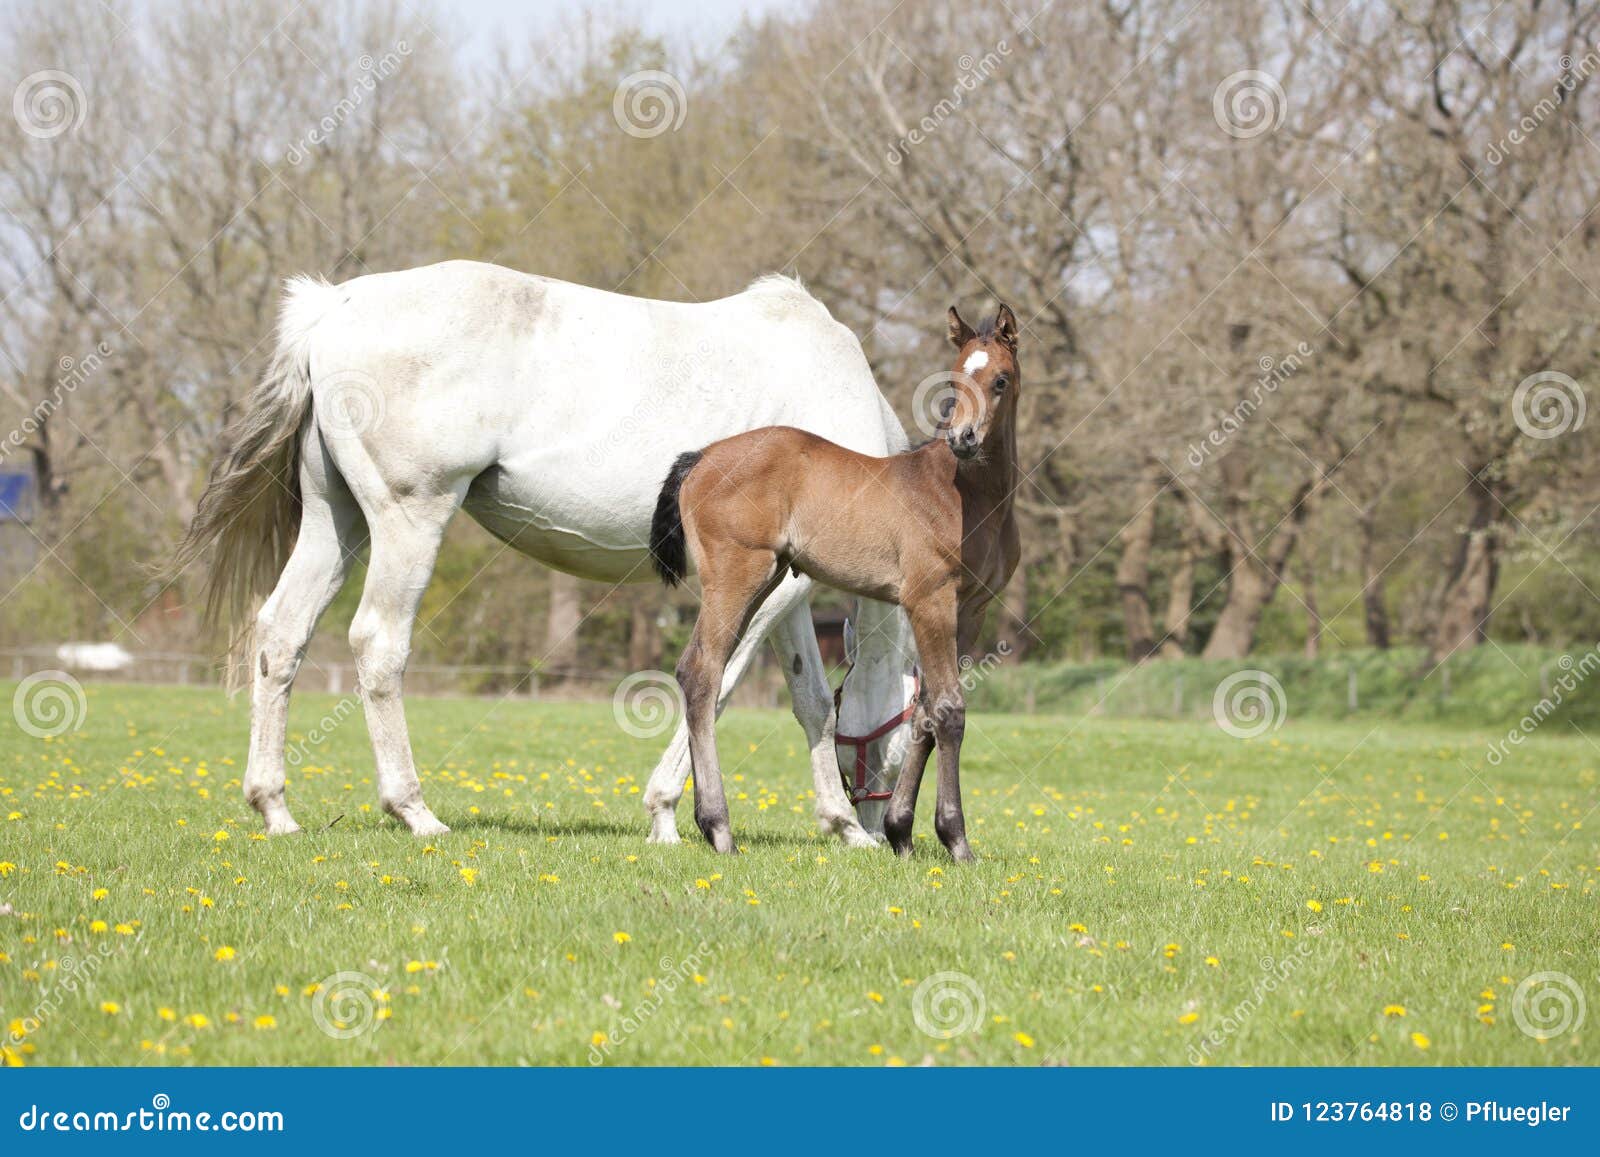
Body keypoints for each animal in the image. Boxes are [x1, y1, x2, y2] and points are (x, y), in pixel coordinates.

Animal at [173, 260, 920, 846]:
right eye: (920, 726)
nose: (887, 831)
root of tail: (331, 308)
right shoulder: (771, 589)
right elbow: (723, 683)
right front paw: (671, 814)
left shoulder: (785, 590)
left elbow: (811, 698)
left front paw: (839, 825)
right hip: (408, 518)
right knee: (377, 644)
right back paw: (415, 811)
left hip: (338, 521)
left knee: (282, 633)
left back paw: (275, 808)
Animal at [649, 303, 1022, 859]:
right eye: (954, 379)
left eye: (1000, 379)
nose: (963, 439)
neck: (969, 495)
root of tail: (701, 457)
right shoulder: (929, 599)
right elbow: (949, 708)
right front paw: (956, 840)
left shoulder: (971, 608)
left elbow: (925, 712)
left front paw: (901, 832)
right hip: (737, 574)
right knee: (701, 672)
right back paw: (718, 827)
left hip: (765, 578)